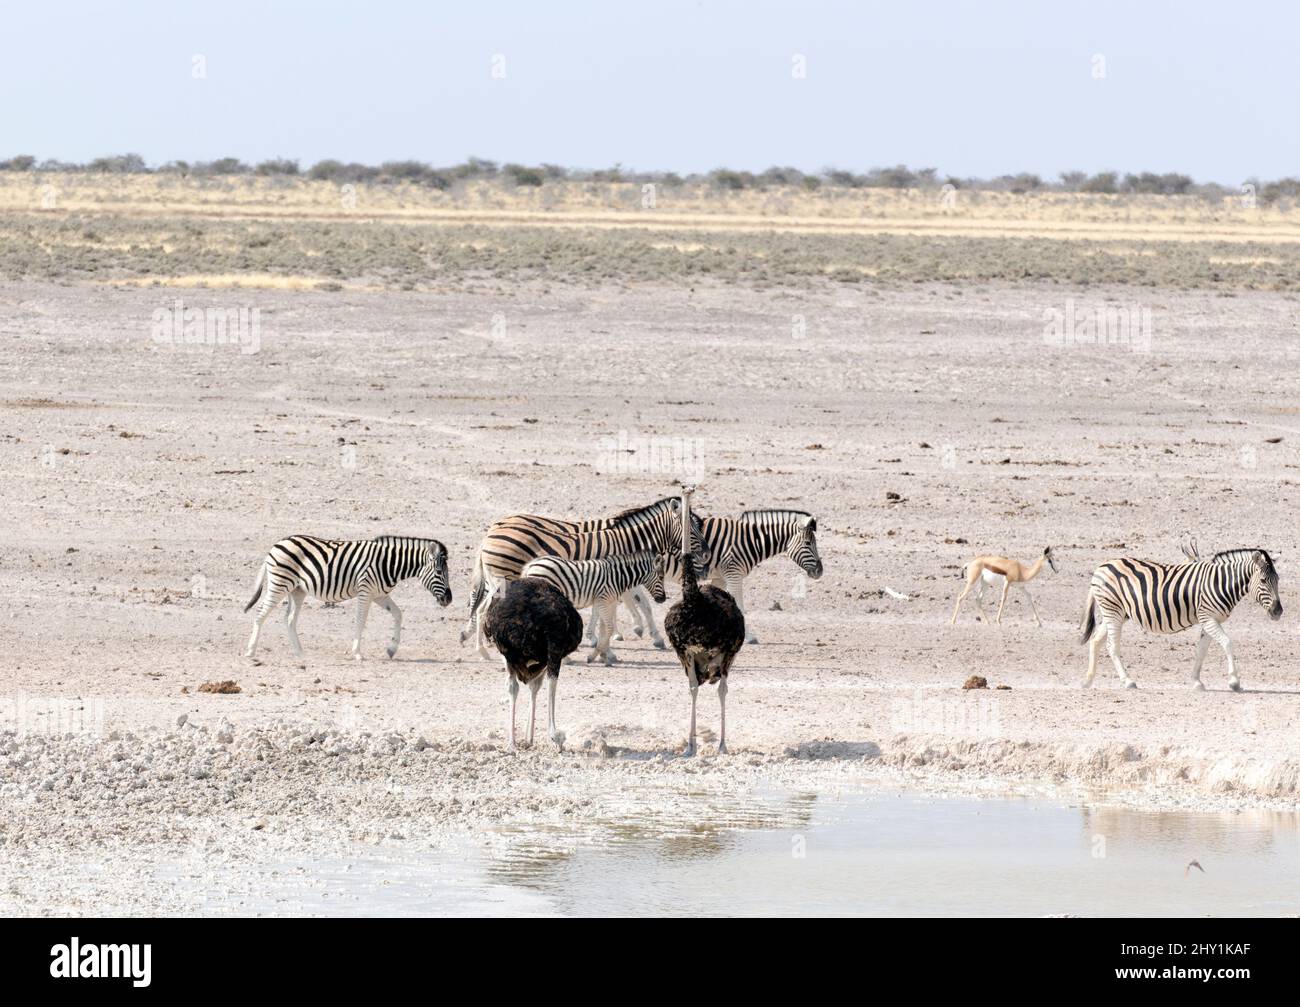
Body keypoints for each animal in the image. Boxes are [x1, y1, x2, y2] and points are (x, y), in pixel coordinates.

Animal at [244, 535, 452, 660]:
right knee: (261, 612)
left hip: (297, 590)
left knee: (288, 619)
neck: (389, 564)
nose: (449, 599)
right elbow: (360, 621)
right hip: (280, 583)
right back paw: (250, 650)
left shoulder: (380, 594)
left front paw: (391, 649)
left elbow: (398, 614)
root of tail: (276, 544)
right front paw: (357, 653)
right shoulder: (365, 591)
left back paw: (299, 653)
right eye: (439, 572)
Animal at [520, 551, 668, 665]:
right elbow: (608, 628)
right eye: (661, 577)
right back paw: (563, 659)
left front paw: (604, 655)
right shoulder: (603, 601)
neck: (618, 577)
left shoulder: (601, 602)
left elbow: (603, 629)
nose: (663, 599)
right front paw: (594, 656)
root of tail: (531, 565)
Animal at [610, 509, 823, 646]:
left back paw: (636, 631)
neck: (750, 541)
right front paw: (748, 636)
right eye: (808, 543)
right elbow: (740, 606)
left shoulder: (720, 577)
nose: (820, 571)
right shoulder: (734, 574)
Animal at [1079, 548, 1281, 691]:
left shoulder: (1209, 619)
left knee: (1096, 641)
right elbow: (1227, 643)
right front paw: (1234, 681)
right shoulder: (1208, 617)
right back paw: (1128, 681)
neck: (1221, 583)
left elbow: (1201, 651)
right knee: (1111, 646)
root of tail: (1102, 566)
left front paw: (1196, 682)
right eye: (1263, 580)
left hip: (1116, 613)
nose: (1278, 611)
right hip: (1112, 611)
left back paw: (1088, 681)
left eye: (1278, 580)